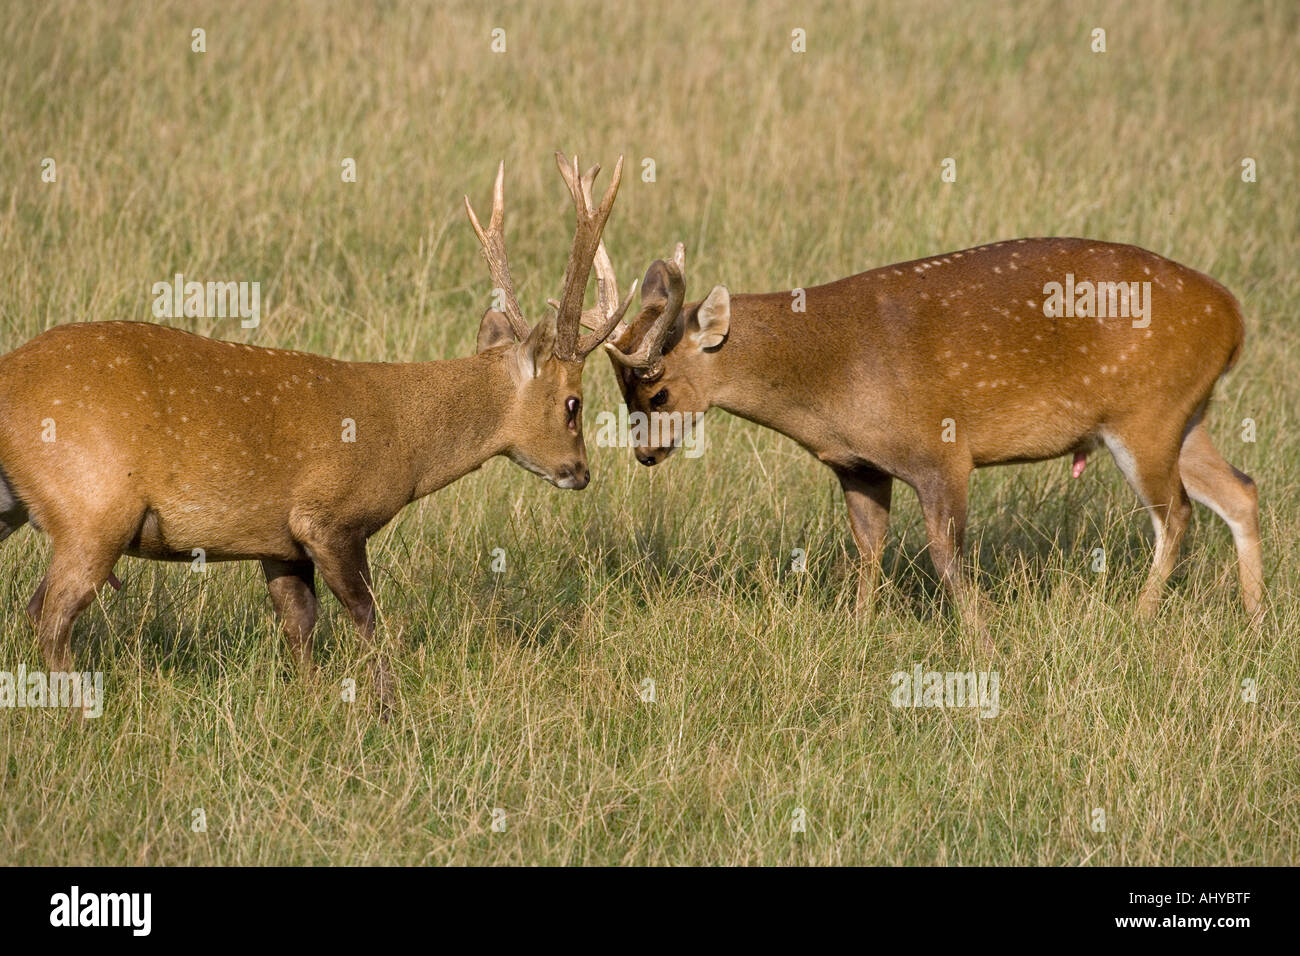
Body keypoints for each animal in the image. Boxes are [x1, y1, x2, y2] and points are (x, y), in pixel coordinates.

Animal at [0, 152, 635, 708]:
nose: (580, 473)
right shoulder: (328, 517)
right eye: (574, 403)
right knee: (48, 616)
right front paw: (387, 706)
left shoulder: (278, 541)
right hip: (92, 508)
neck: (404, 441)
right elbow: (365, 617)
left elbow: (299, 627)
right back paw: (80, 713)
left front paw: (310, 703)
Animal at [603, 239, 1263, 632]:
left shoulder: (941, 452)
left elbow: (947, 556)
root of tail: (1234, 318)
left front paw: (982, 642)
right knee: (1241, 490)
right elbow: (868, 550)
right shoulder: (858, 465)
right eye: (624, 395)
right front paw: (858, 630)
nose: (646, 453)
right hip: (1185, 417)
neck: (828, 382)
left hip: (1146, 415)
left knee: (1177, 512)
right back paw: (1255, 617)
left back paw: (1138, 618)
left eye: (658, 390)